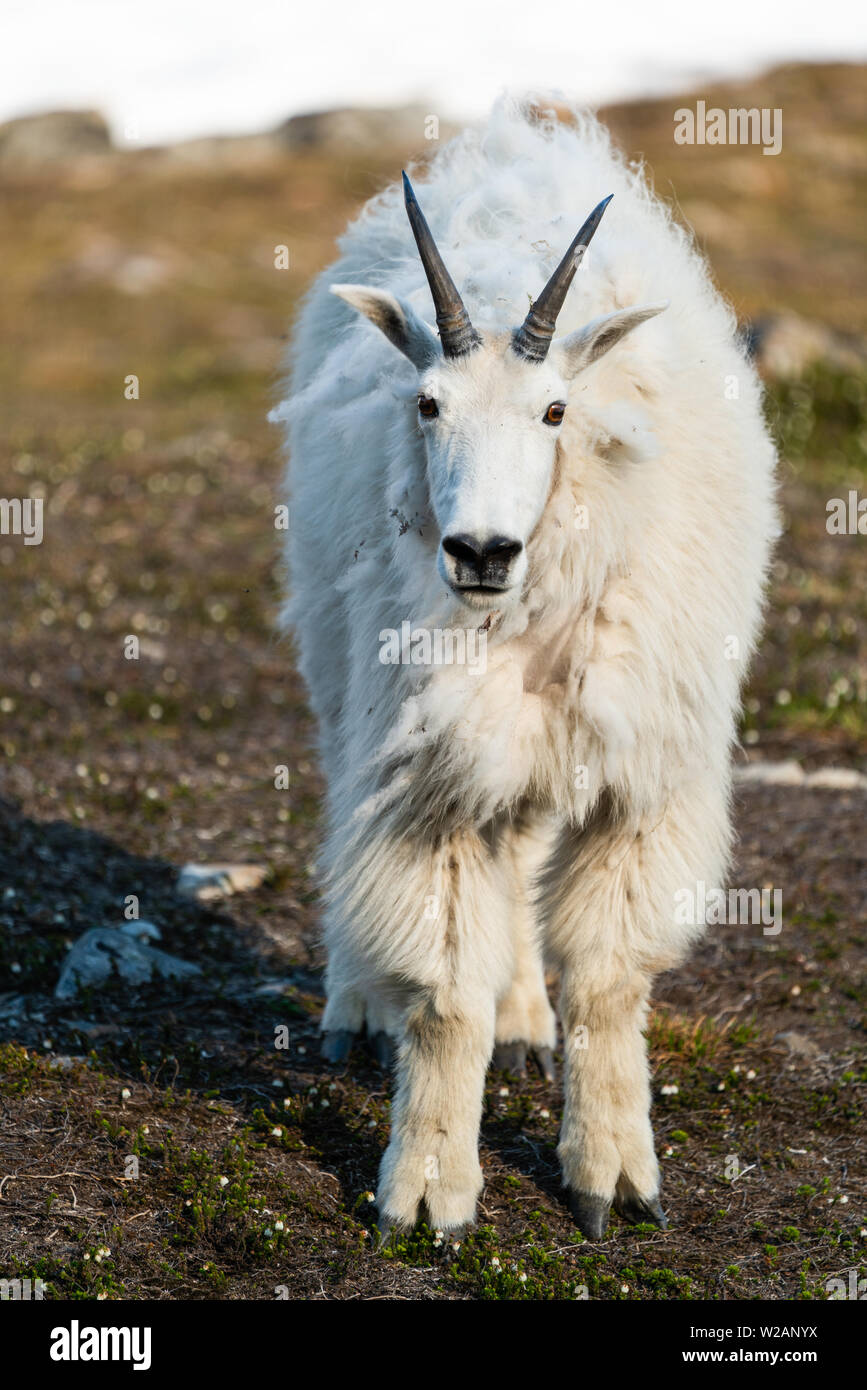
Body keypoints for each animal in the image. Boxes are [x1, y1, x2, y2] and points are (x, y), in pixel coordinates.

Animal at [274, 96, 778, 1239]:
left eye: (555, 412)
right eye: (426, 404)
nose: (480, 552)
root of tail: (510, 138)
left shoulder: (638, 772)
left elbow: (607, 980)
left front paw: (615, 1177)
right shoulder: (428, 773)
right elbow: (442, 995)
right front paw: (427, 1194)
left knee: (521, 843)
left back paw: (522, 1016)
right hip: (348, 661)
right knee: (346, 795)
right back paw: (354, 1004)